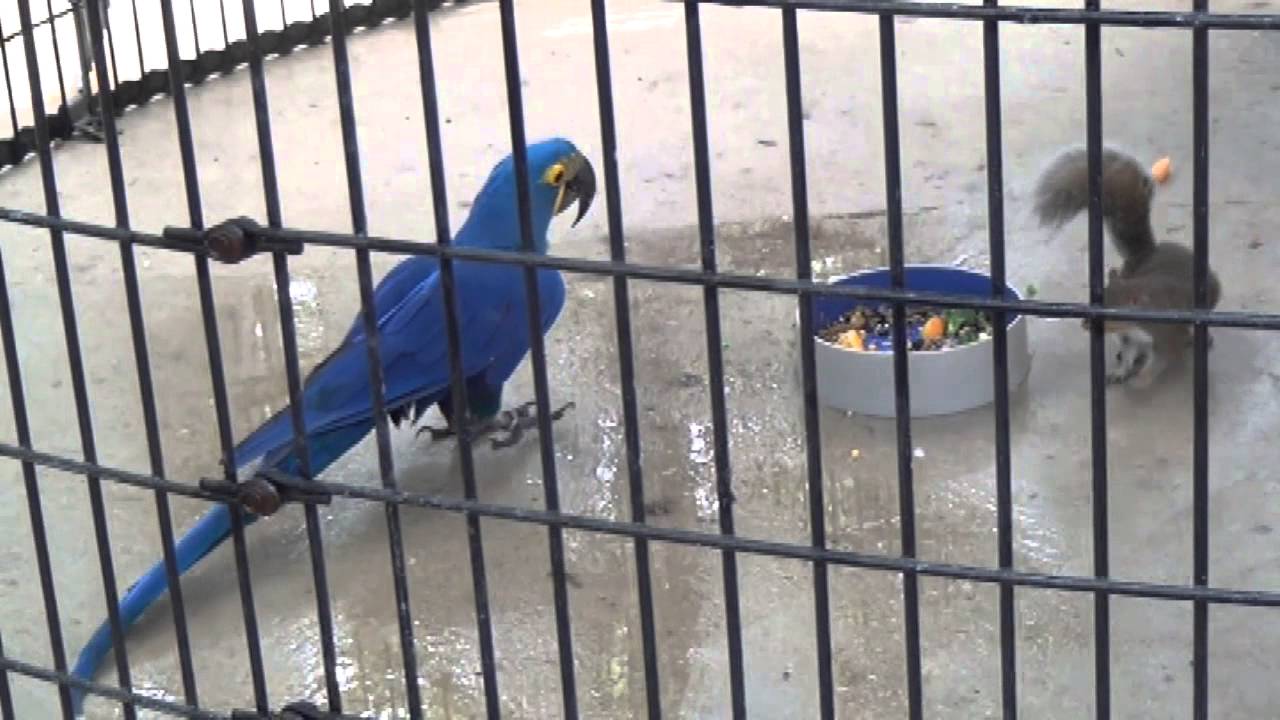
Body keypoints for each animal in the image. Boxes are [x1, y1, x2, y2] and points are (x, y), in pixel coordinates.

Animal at [1031, 144, 1222, 389]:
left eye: (1113, 315)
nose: (1084, 325)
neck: (1134, 326)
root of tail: (1149, 252)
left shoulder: (1167, 335)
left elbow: (1161, 360)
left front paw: (1141, 380)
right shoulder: (1128, 338)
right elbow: (1130, 352)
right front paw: (1121, 372)